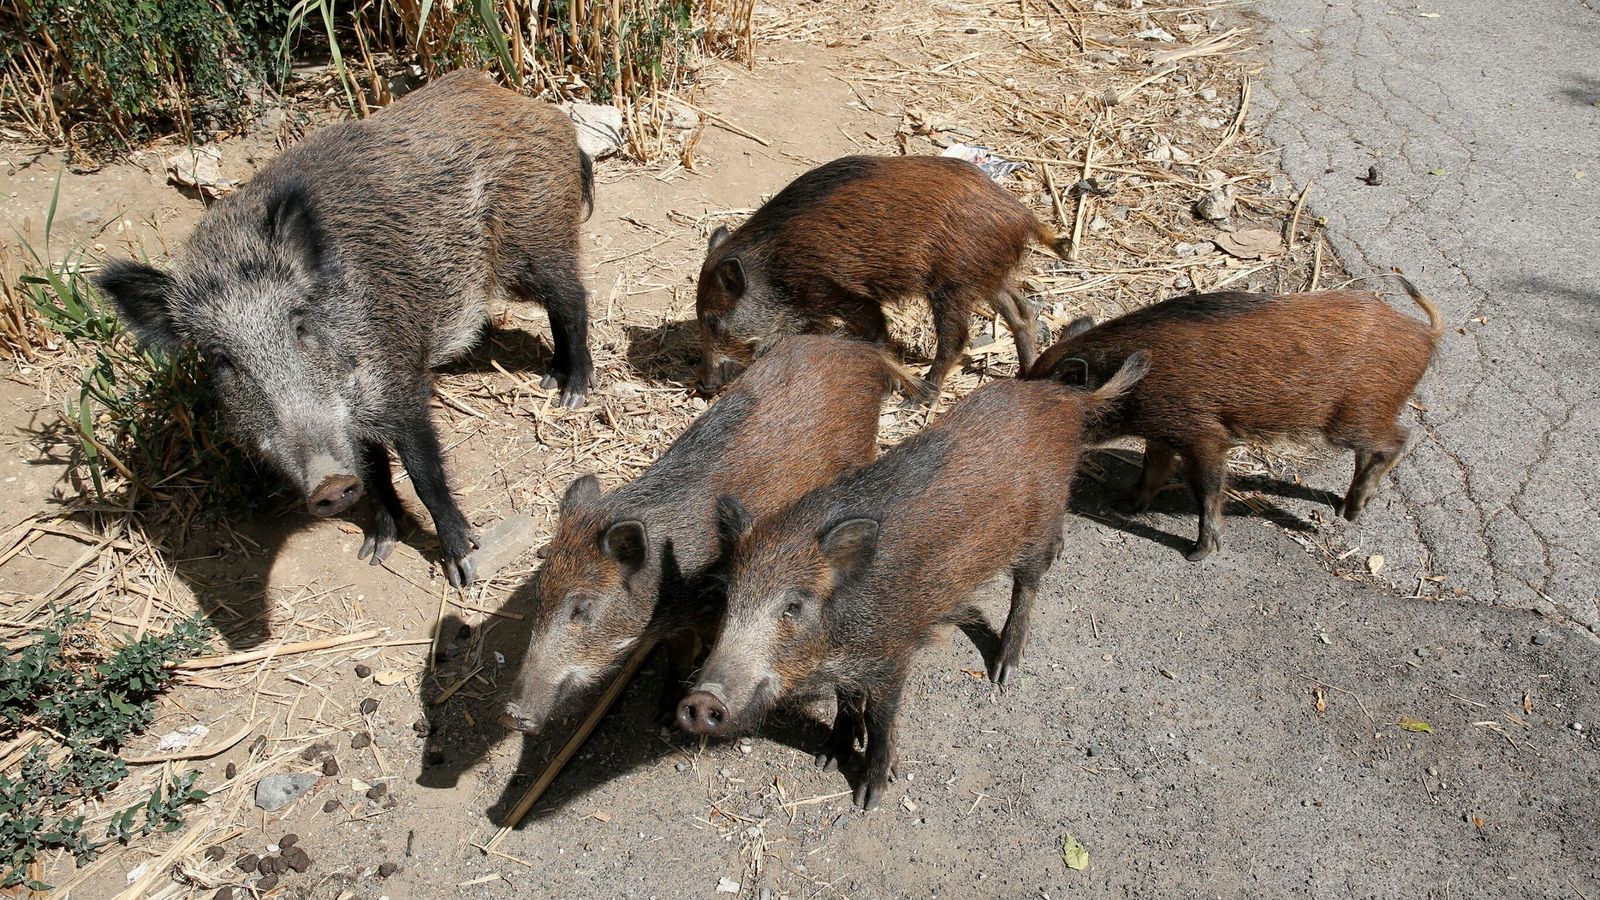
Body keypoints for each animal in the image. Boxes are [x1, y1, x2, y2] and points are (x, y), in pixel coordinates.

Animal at [92, 71, 596, 587]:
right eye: (222, 360)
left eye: (299, 324)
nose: (330, 485)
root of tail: (535, 107)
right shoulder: (354, 421)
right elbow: (374, 473)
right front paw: (376, 550)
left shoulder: (398, 381)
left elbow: (424, 473)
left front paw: (463, 568)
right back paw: (550, 379)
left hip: (537, 237)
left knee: (572, 300)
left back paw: (570, 393)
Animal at [498, 336, 920, 735]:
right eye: (539, 599)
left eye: (582, 608)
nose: (512, 714)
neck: (666, 582)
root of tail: (862, 351)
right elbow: (678, 654)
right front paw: (662, 714)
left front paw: (667, 717)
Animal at [677, 354, 1150, 810]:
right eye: (729, 601)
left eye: (793, 605)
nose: (699, 702)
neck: (845, 624)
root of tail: (1064, 398)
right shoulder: (853, 664)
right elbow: (846, 701)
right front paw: (827, 757)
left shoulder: (892, 657)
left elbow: (880, 718)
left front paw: (869, 797)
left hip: (1040, 522)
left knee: (1028, 587)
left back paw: (1003, 671)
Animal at [695, 154, 1066, 401]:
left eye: (712, 320)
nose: (705, 386)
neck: (774, 270)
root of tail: (1024, 217)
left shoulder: (844, 294)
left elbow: (877, 337)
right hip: (986, 275)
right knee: (1021, 311)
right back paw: (1026, 374)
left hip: (953, 285)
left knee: (957, 338)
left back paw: (925, 394)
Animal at [1027, 277, 1443, 560]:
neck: (1133, 379)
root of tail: (1426, 332)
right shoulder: (1163, 430)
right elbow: (1153, 468)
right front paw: (1124, 504)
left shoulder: (1204, 434)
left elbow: (1208, 488)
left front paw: (1198, 553)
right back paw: (1344, 510)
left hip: (1354, 418)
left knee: (1397, 440)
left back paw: (1353, 511)